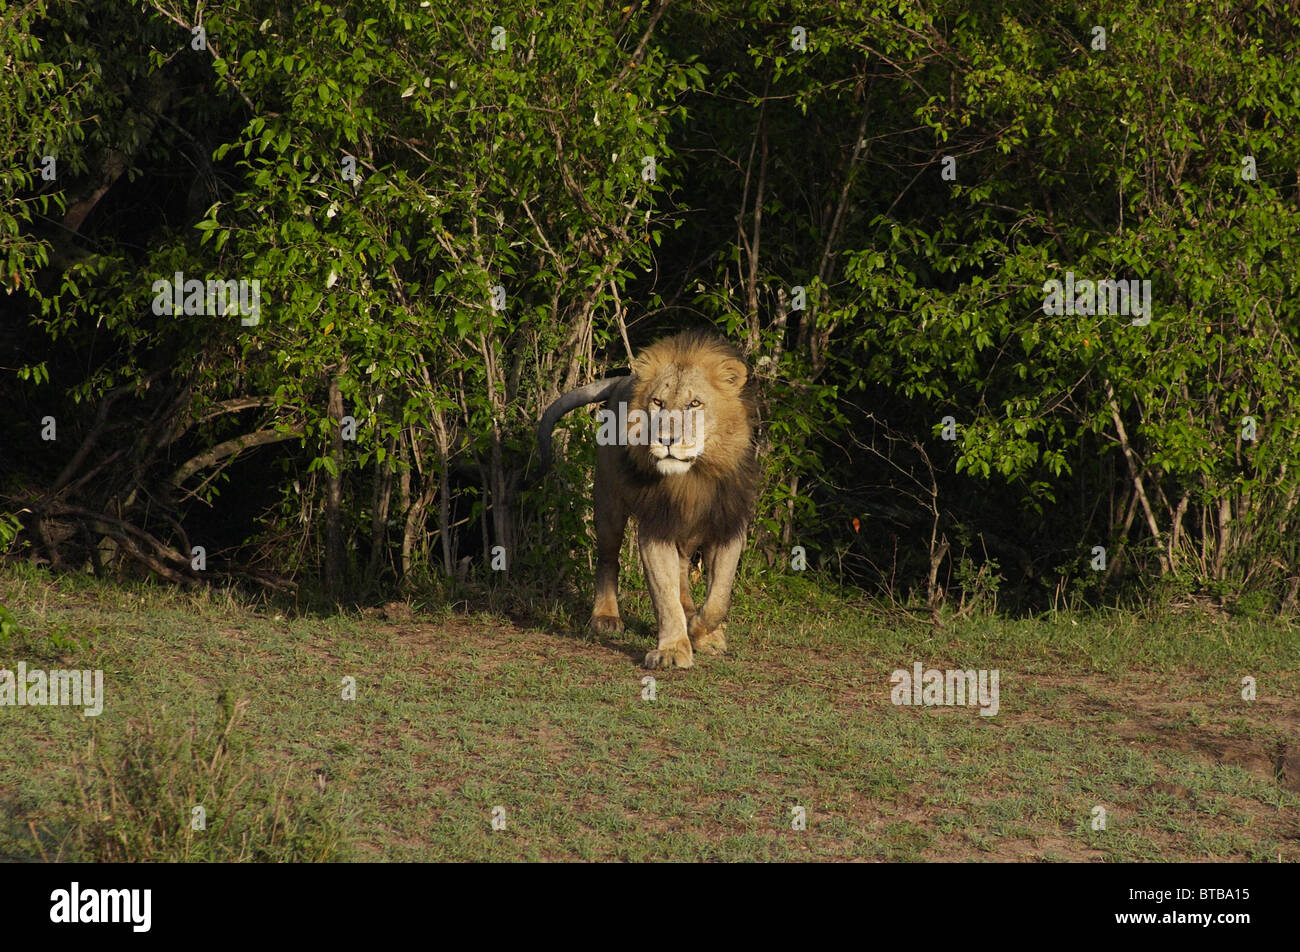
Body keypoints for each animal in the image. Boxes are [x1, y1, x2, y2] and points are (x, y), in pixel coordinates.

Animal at [537, 330, 760, 669]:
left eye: (694, 403)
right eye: (657, 402)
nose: (665, 440)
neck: (693, 477)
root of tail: (622, 381)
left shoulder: (728, 525)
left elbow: (719, 597)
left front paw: (703, 632)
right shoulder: (656, 527)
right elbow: (664, 594)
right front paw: (673, 648)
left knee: (682, 572)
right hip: (608, 503)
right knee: (608, 559)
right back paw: (606, 617)